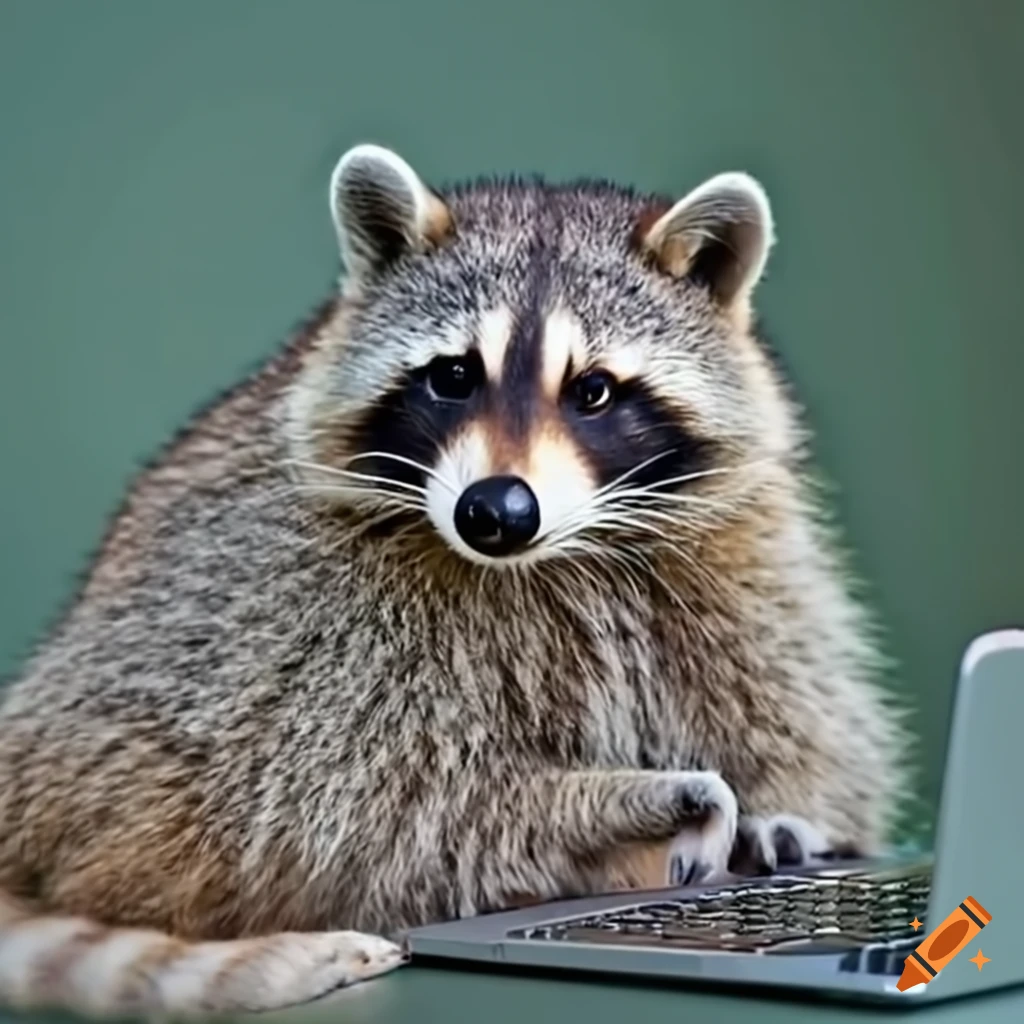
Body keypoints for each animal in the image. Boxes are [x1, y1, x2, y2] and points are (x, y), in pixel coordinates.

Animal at [0, 143, 907, 1017]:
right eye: (454, 376)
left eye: (593, 391)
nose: (495, 511)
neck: (551, 554)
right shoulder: (317, 617)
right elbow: (376, 815)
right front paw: (615, 799)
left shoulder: (739, 555)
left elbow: (798, 704)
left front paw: (782, 812)